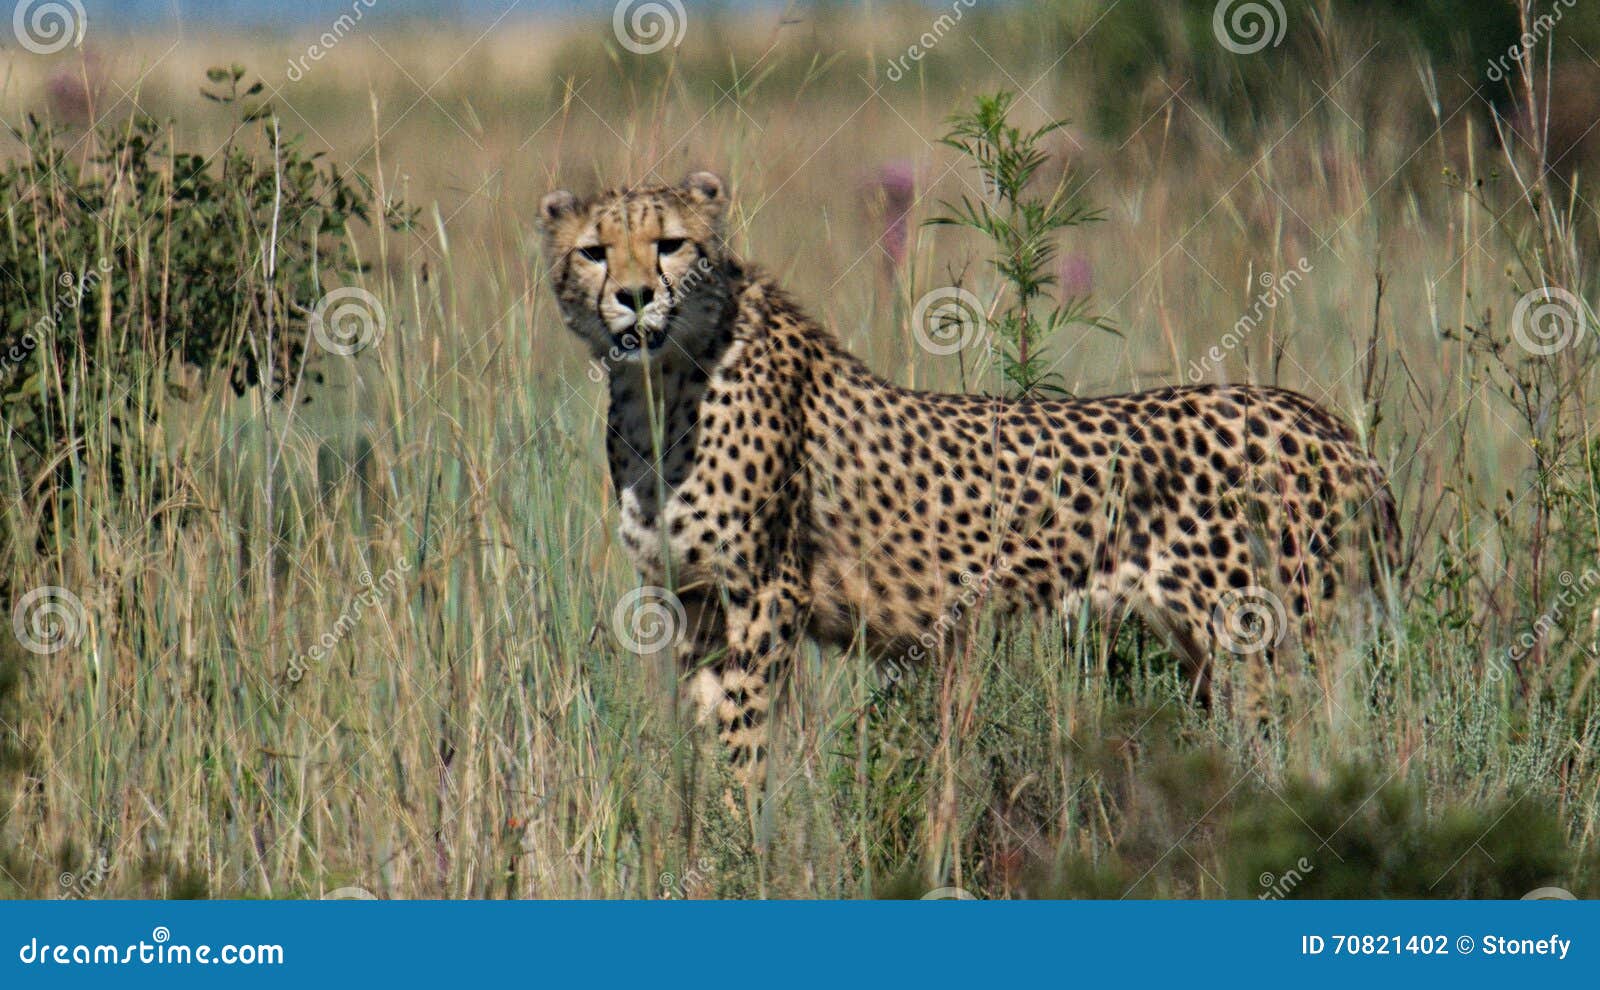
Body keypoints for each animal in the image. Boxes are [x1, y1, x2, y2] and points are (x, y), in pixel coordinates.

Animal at [537, 170, 1400, 797]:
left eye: (670, 244)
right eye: (594, 251)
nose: (635, 297)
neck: (663, 383)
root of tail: (1326, 422)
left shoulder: (764, 596)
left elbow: (742, 742)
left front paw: (739, 843)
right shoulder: (693, 601)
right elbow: (708, 728)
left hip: (1267, 642)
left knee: (1320, 743)